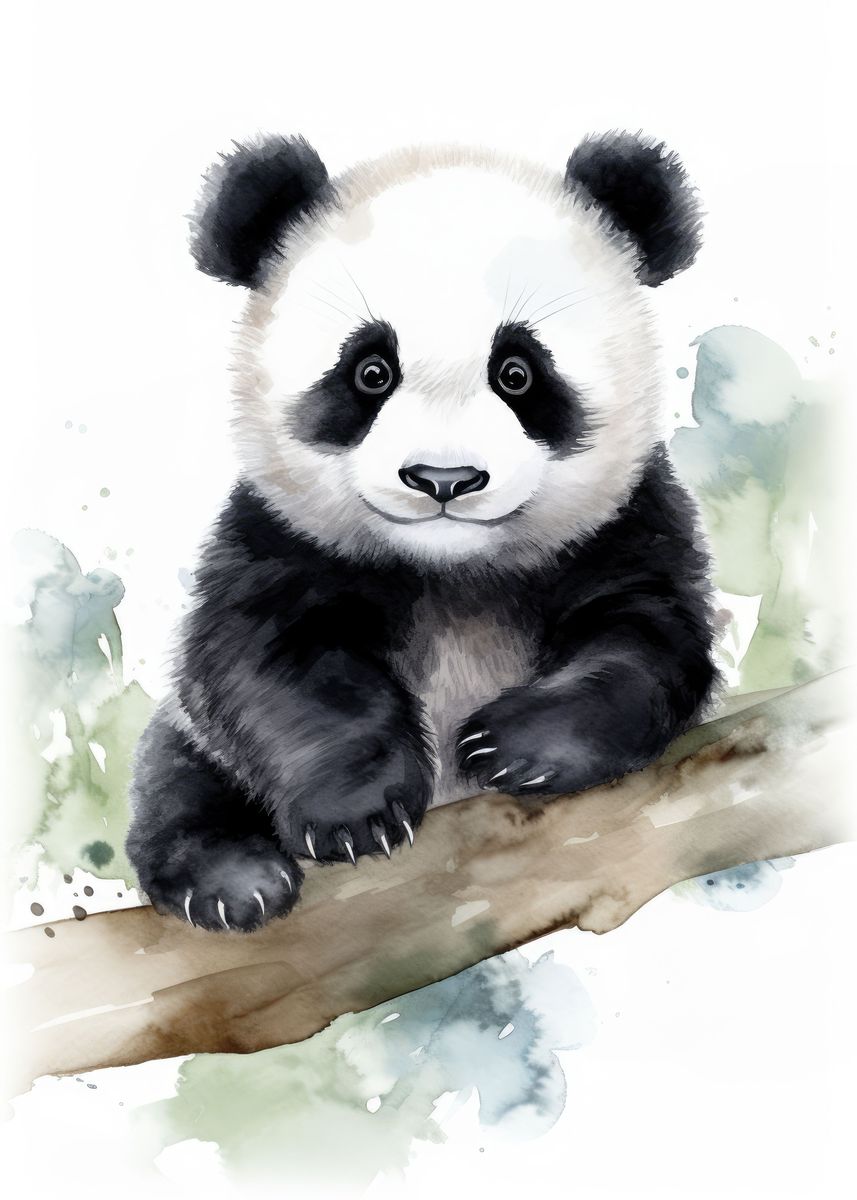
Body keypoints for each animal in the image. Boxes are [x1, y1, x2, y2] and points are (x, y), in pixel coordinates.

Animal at [126, 131, 716, 932]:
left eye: (517, 373)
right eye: (370, 371)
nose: (444, 479)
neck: (452, 572)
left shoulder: (626, 523)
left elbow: (644, 643)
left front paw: (516, 745)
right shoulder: (279, 537)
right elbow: (271, 666)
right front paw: (355, 812)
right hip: (193, 749)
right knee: (174, 781)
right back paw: (231, 879)